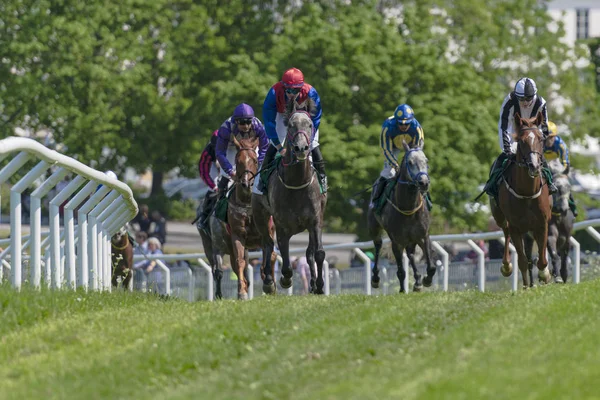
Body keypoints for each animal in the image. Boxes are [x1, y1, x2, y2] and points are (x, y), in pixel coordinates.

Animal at [253, 104, 328, 296]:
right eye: (291, 126)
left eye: (309, 124)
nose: (301, 148)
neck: (297, 183)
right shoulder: (281, 226)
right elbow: (285, 264)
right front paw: (284, 280)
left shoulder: (315, 220)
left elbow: (318, 253)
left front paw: (319, 285)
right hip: (260, 215)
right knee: (268, 244)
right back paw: (269, 282)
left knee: (308, 252)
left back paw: (312, 283)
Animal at [366, 142, 436, 292]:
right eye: (410, 162)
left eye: (426, 161)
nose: (424, 182)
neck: (408, 208)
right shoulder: (396, 241)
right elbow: (400, 271)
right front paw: (403, 290)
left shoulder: (423, 235)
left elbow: (431, 266)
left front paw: (426, 280)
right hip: (374, 228)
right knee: (378, 245)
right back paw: (375, 278)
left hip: (411, 239)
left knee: (410, 254)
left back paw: (417, 281)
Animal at [490, 111, 552, 288]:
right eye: (522, 141)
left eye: (540, 138)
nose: (534, 166)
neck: (527, 192)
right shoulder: (515, 227)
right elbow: (523, 261)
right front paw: (526, 287)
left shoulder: (542, 223)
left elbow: (542, 260)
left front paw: (545, 275)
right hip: (500, 217)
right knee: (505, 232)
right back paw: (506, 266)